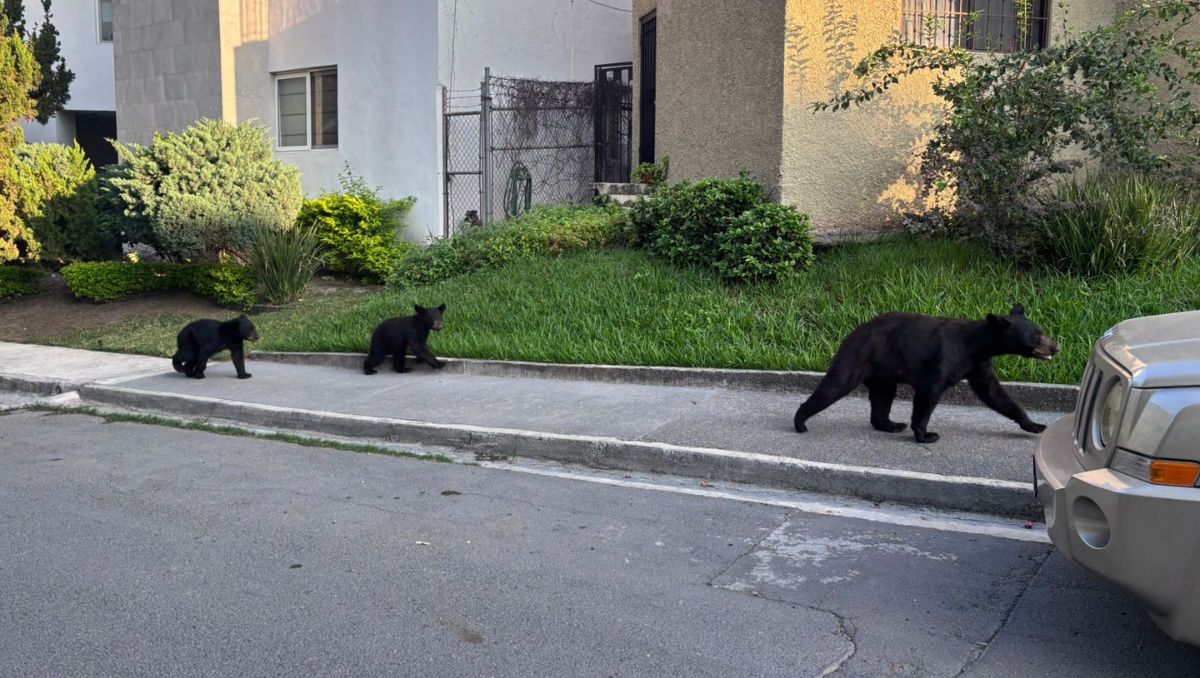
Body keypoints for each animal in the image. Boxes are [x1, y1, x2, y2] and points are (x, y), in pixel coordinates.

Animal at [793, 304, 1059, 443]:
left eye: (1042, 330)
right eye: (1036, 336)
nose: (1056, 347)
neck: (975, 345)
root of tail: (852, 332)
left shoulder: (978, 365)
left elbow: (994, 393)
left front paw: (1035, 425)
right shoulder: (945, 358)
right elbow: (929, 392)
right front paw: (926, 434)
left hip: (883, 373)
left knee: (882, 396)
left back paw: (891, 424)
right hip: (857, 356)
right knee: (835, 384)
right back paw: (800, 422)